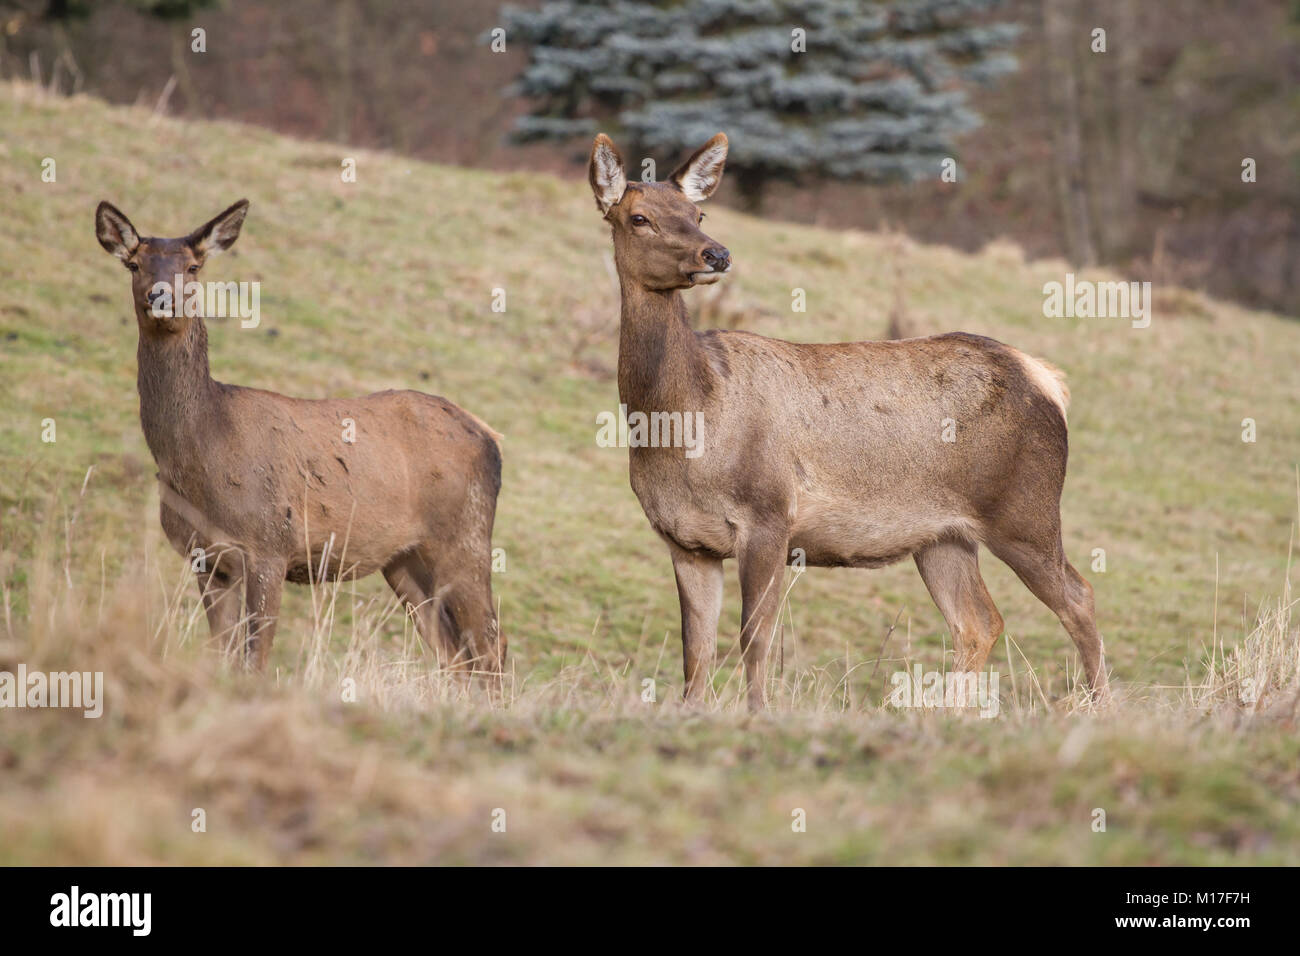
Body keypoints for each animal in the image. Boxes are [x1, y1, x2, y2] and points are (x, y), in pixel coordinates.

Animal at [95, 199, 504, 678]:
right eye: (134, 263)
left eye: (194, 266)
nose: (162, 298)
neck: (204, 450)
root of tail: (489, 436)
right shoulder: (207, 559)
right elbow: (224, 654)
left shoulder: (270, 543)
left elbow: (255, 658)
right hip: (403, 560)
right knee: (455, 655)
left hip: (466, 538)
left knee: (493, 647)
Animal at [588, 132, 1110, 712]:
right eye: (639, 217)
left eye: (698, 212)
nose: (716, 253)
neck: (685, 422)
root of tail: (1047, 380)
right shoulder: (684, 540)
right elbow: (695, 652)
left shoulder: (769, 513)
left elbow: (754, 637)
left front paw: (759, 713)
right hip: (943, 536)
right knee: (978, 621)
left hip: (1025, 509)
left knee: (1078, 597)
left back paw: (1099, 708)